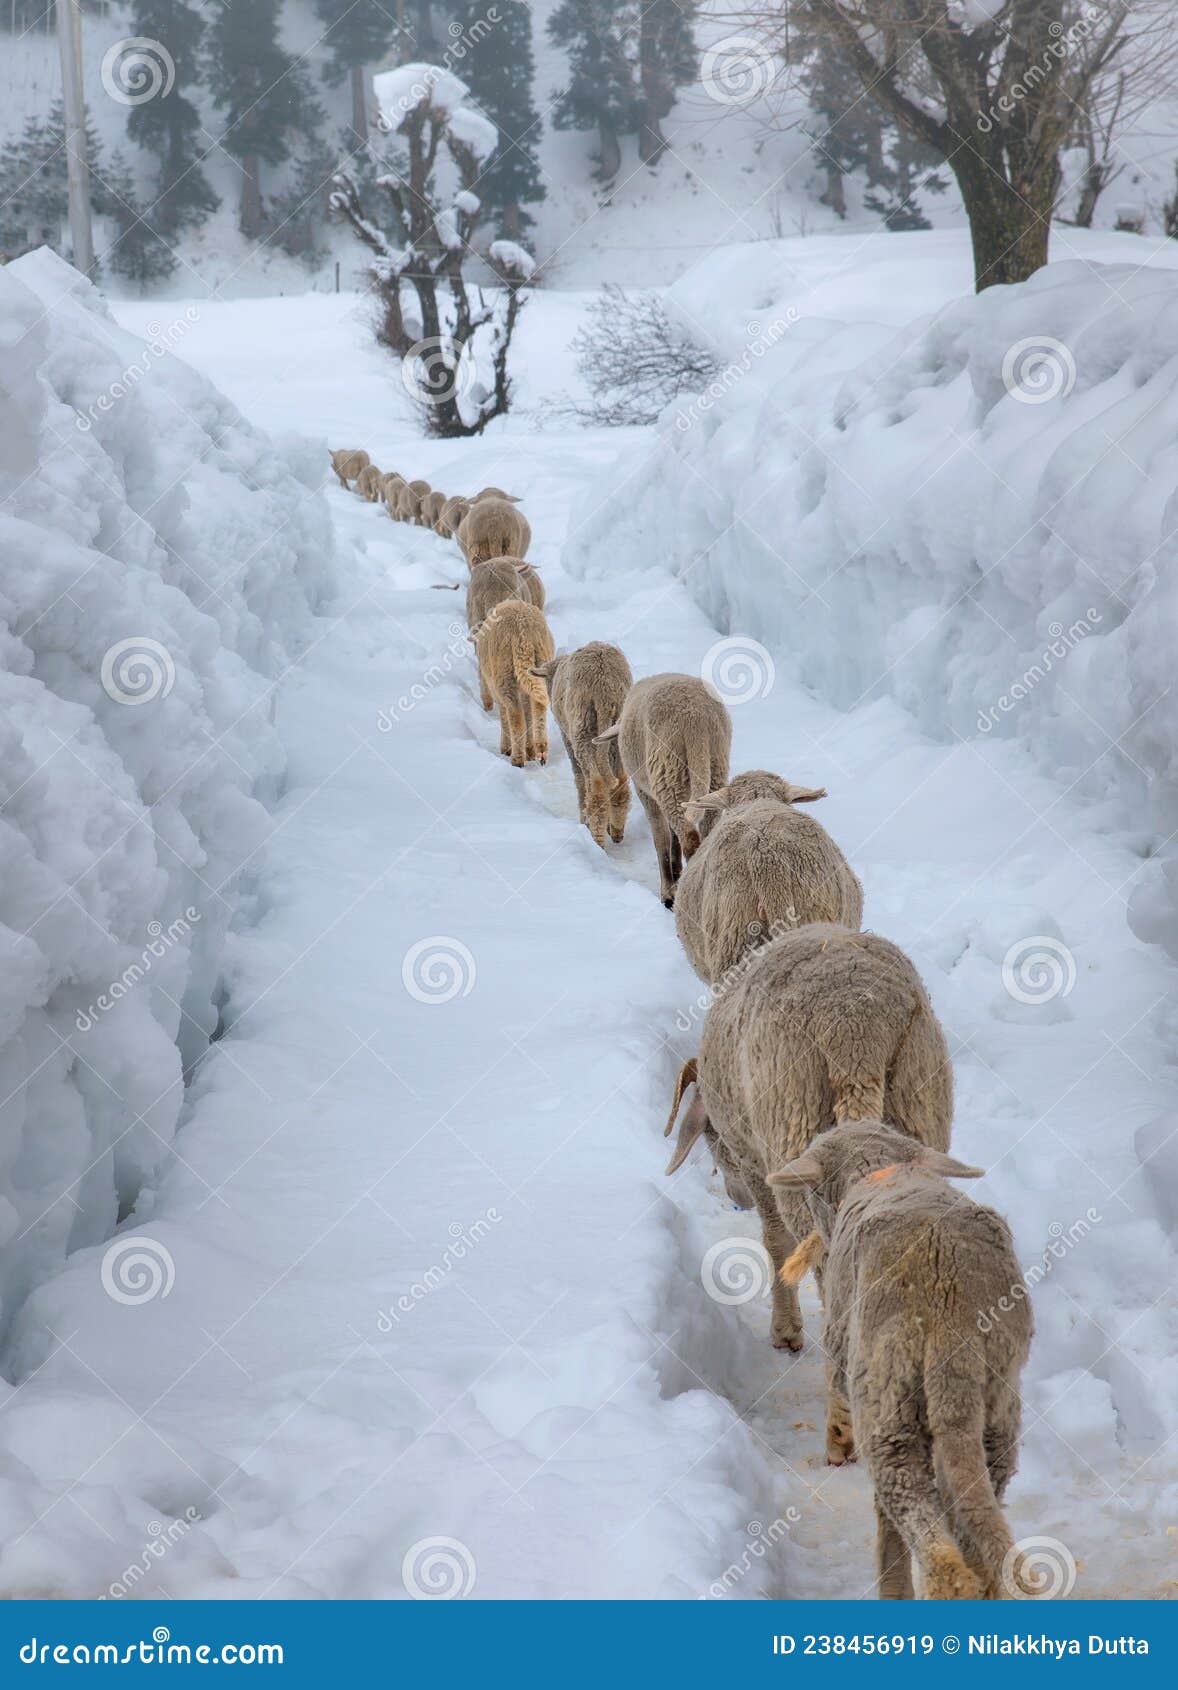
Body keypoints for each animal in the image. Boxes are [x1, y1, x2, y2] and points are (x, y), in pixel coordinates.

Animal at [476, 600, 554, 767]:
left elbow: (505, 717)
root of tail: (522, 631)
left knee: (515, 715)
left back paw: (517, 759)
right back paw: (540, 750)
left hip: (504, 675)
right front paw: (530, 751)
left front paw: (506, 749)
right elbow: (528, 713)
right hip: (541, 662)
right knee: (538, 707)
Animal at [532, 643, 633, 849]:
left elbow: (579, 779)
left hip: (582, 729)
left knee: (596, 784)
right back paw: (616, 830)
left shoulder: (567, 737)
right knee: (620, 782)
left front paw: (583, 818)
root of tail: (604, 688)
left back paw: (597, 838)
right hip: (616, 731)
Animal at [595, 674, 730, 908]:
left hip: (668, 774)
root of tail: (696, 722)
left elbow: (660, 836)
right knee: (703, 832)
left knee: (689, 838)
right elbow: (671, 836)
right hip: (712, 772)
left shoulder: (645, 791)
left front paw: (668, 888)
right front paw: (676, 871)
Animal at [663, 922, 953, 1460]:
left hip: (794, 1123)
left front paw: (786, 1332)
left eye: (710, 1139)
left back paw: (842, 1430)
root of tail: (856, 1025)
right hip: (918, 1105)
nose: (734, 1196)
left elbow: (776, 1244)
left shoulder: (760, 1164)